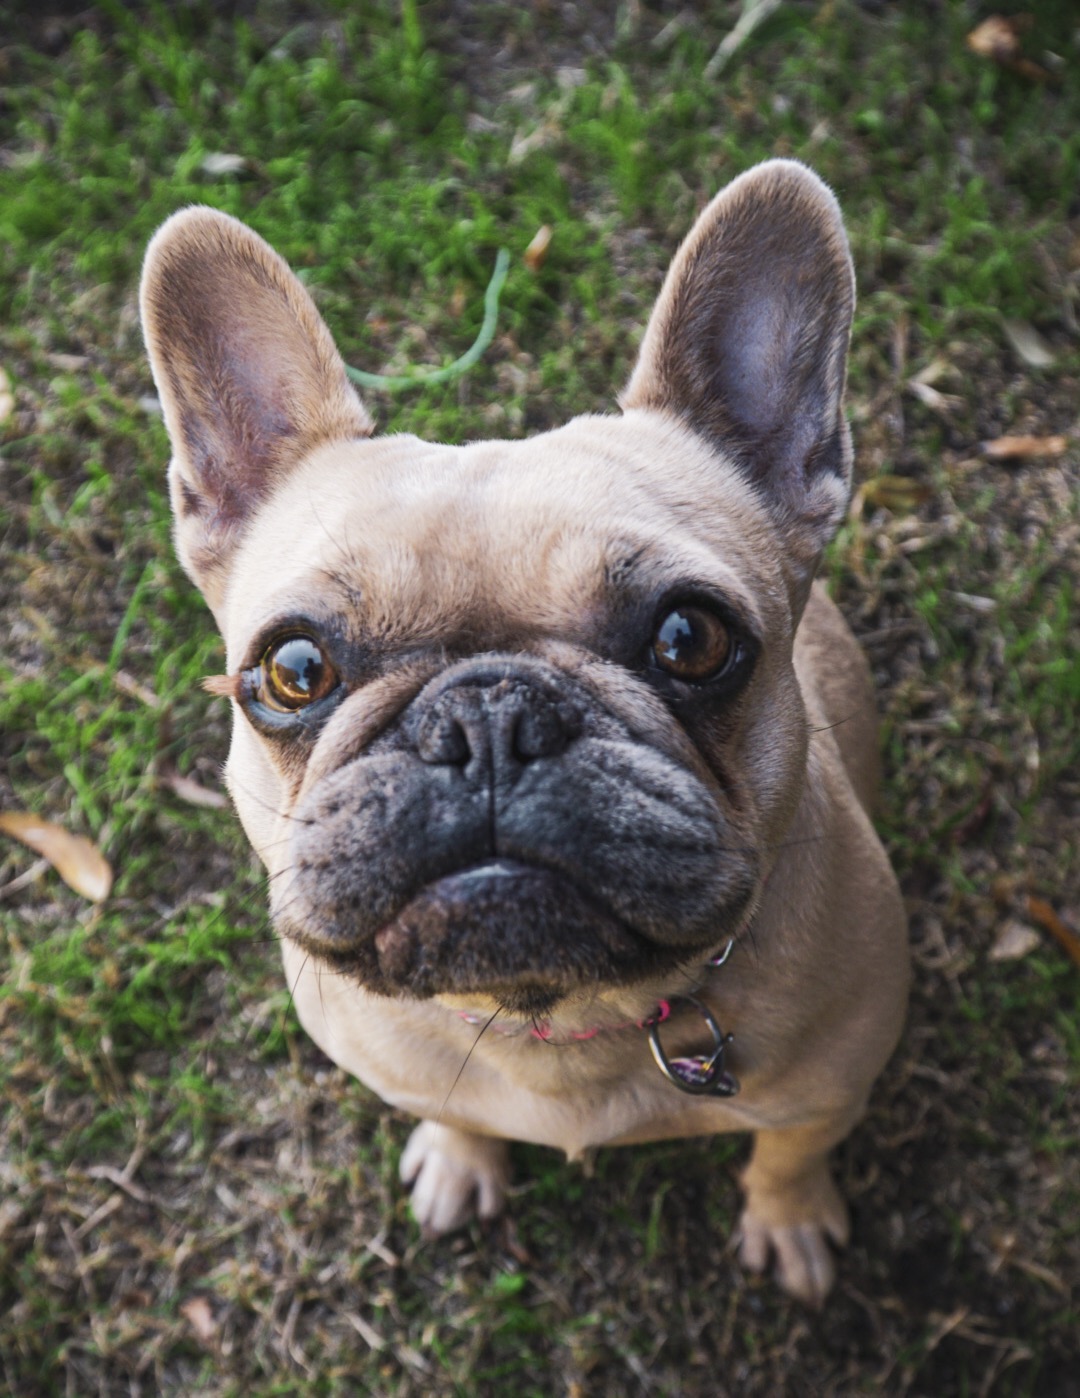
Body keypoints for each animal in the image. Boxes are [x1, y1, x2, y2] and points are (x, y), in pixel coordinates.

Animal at [139, 163, 905, 1308]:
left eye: (691, 637)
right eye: (294, 669)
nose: (488, 717)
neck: (550, 1014)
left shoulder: (832, 1091)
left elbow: (789, 1153)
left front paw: (791, 1220)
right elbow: (448, 1112)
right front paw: (460, 1160)